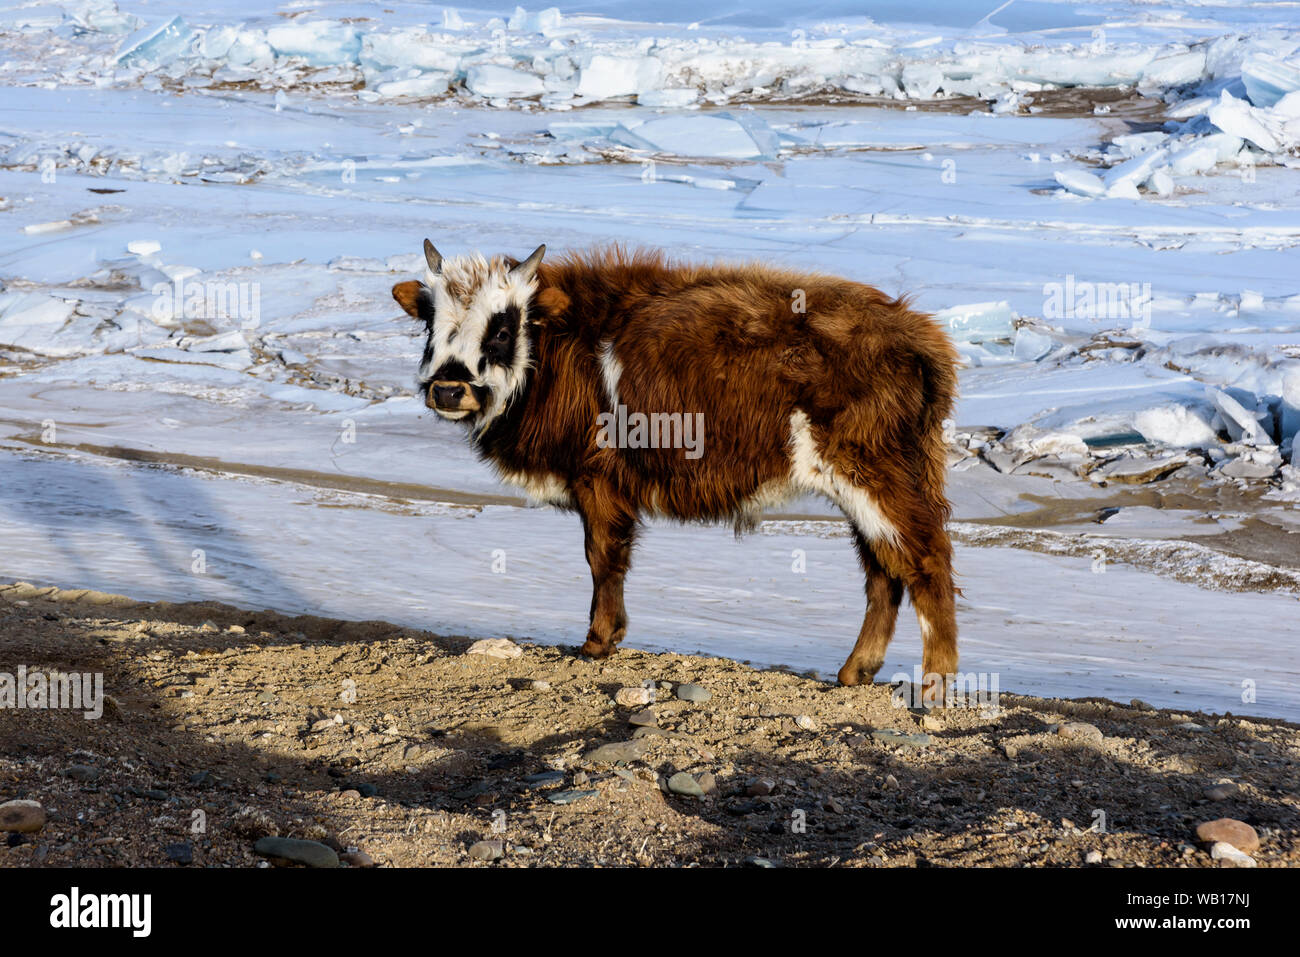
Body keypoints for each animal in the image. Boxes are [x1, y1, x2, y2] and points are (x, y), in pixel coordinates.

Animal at [392, 242, 961, 704]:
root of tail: (915, 334)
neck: (557, 348)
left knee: (925, 561)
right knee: (883, 573)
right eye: (431, 324)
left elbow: (602, 558)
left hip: (876, 478)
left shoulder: (599, 483)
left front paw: (596, 641)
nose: (448, 390)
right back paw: (854, 671)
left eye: (502, 328)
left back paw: (934, 683)